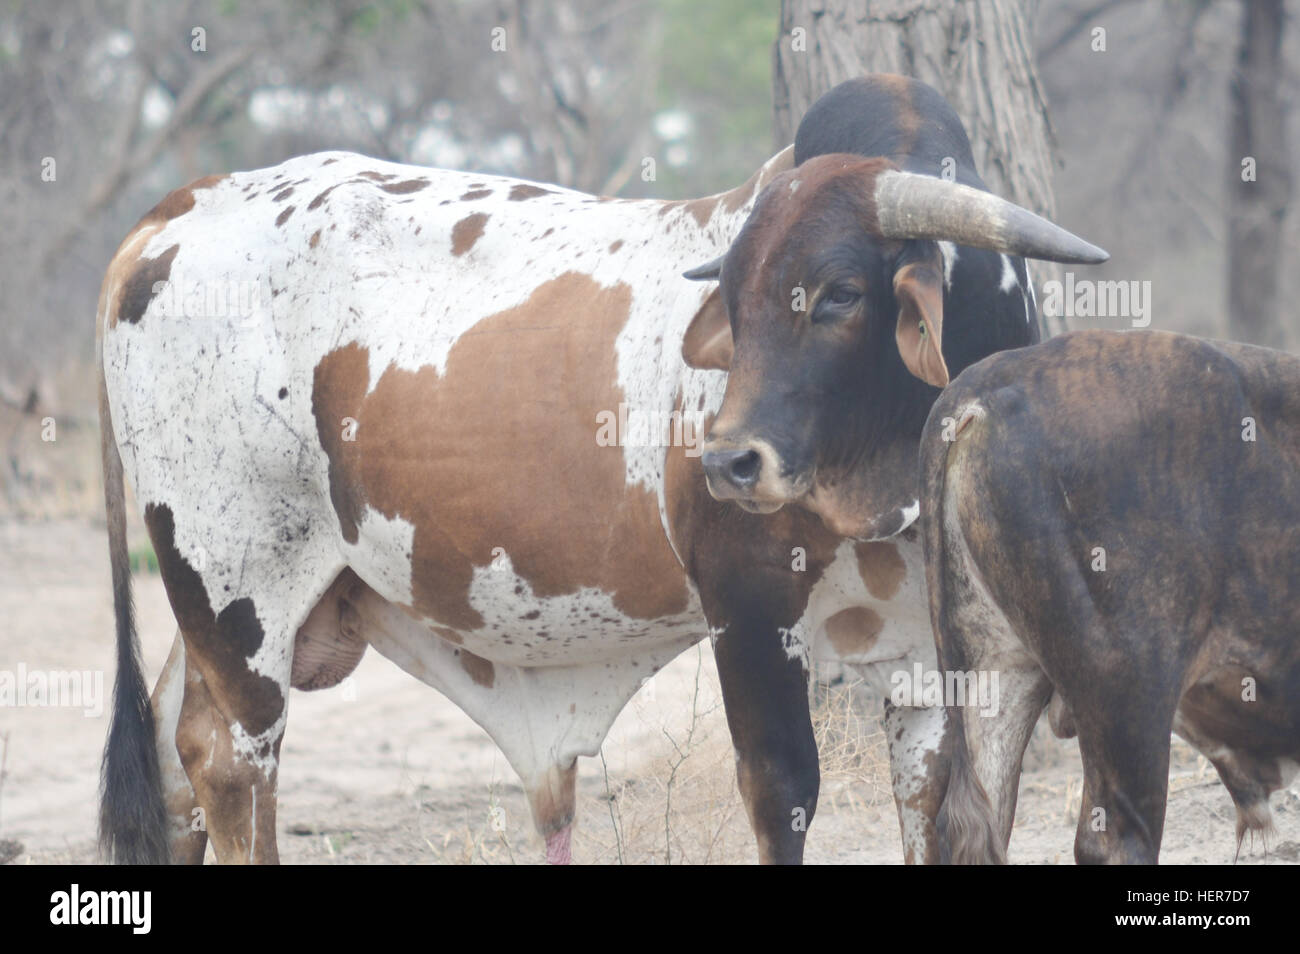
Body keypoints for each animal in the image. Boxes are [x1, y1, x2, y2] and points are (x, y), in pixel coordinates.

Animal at [96, 74, 1098, 866]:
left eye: (842, 294)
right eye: (733, 301)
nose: (730, 460)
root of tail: (177, 207)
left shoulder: (927, 651)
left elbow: (932, 802)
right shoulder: (747, 608)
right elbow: (783, 794)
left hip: (238, 601)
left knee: (182, 761)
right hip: (234, 584)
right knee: (233, 763)